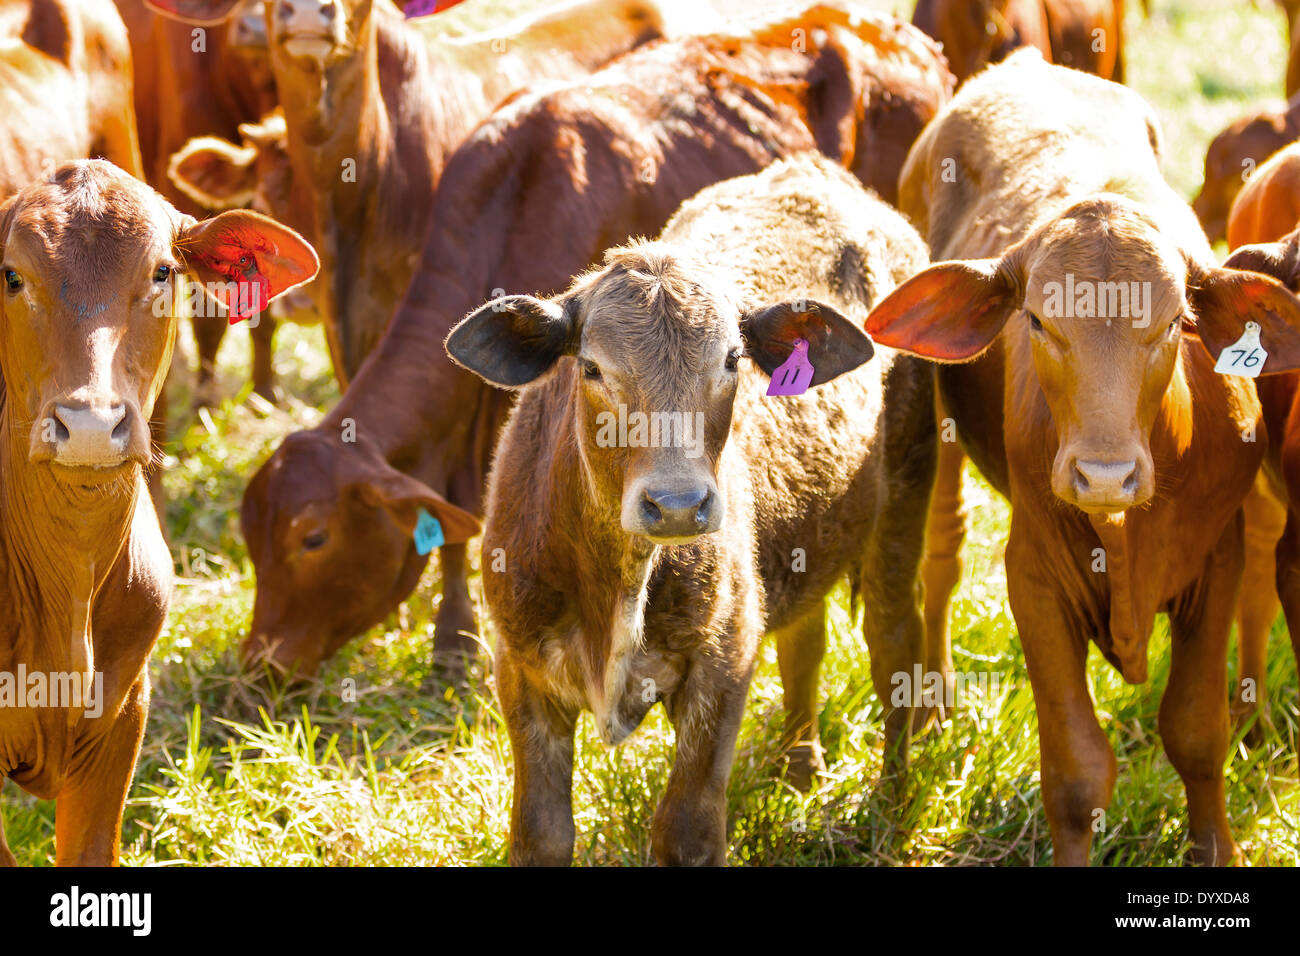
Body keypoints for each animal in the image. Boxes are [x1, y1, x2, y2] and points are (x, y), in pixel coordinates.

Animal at [444, 153, 935, 865]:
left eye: (733, 359)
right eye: (590, 368)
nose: (676, 505)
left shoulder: (722, 666)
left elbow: (686, 829)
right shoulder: (521, 669)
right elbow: (541, 831)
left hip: (907, 495)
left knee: (894, 645)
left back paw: (893, 810)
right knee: (805, 640)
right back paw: (800, 770)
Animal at [864, 50, 1300, 866]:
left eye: (1174, 323)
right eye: (1038, 321)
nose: (1104, 475)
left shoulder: (1215, 563)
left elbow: (1196, 734)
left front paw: (1215, 849)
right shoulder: (1033, 578)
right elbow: (1075, 773)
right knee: (941, 557)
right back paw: (933, 705)